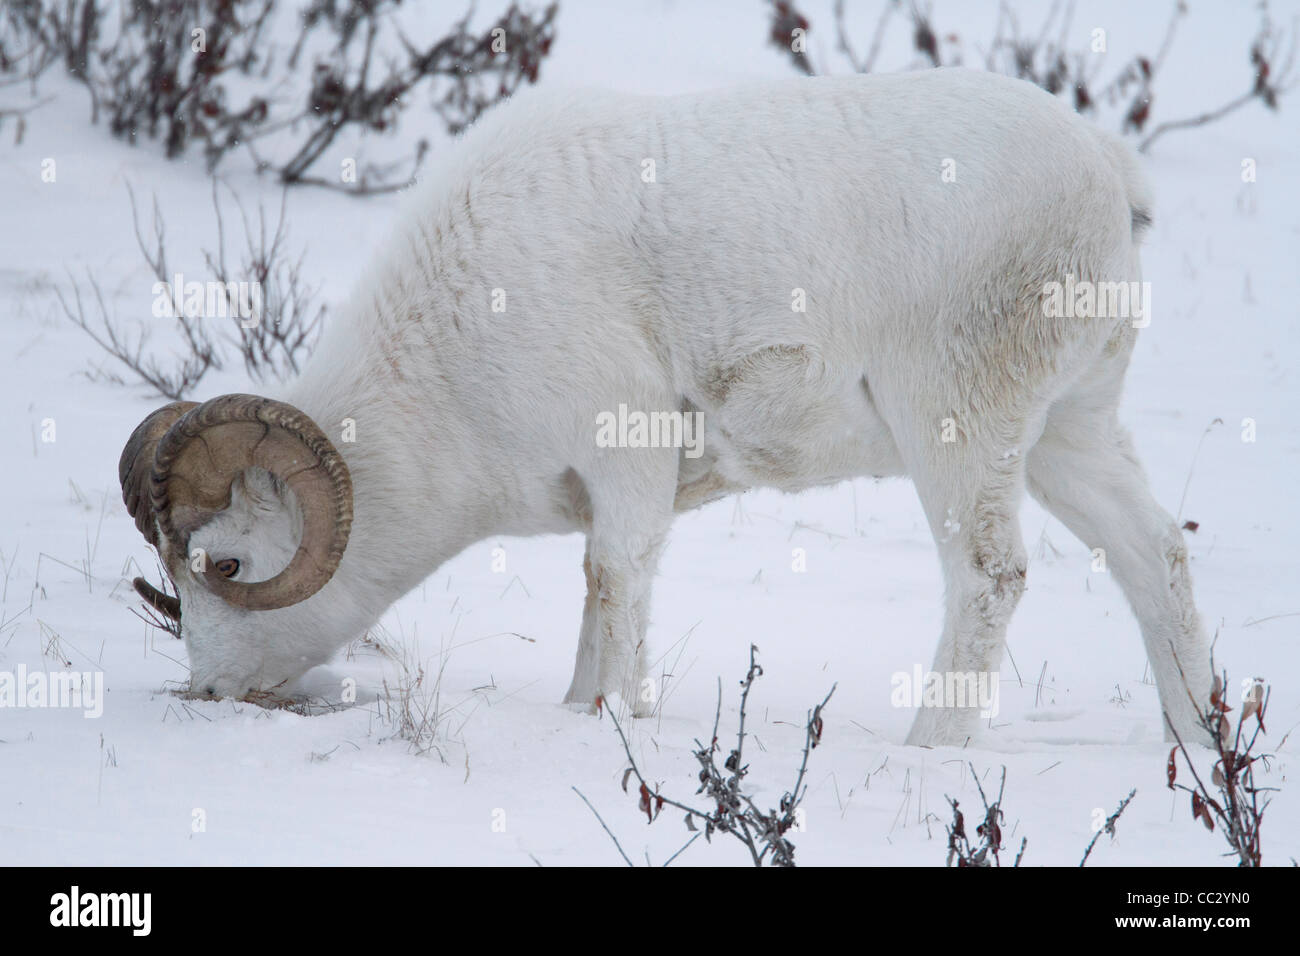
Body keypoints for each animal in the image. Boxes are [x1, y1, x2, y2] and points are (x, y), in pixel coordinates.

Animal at [120, 67, 1213, 747]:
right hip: (1067, 436)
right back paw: (1200, 748)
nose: (209, 693)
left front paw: (610, 717)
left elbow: (616, 584)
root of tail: (1107, 173)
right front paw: (577, 710)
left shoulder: (627, 461)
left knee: (989, 577)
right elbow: (597, 603)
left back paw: (924, 749)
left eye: (224, 564)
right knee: (1153, 553)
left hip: (957, 429)